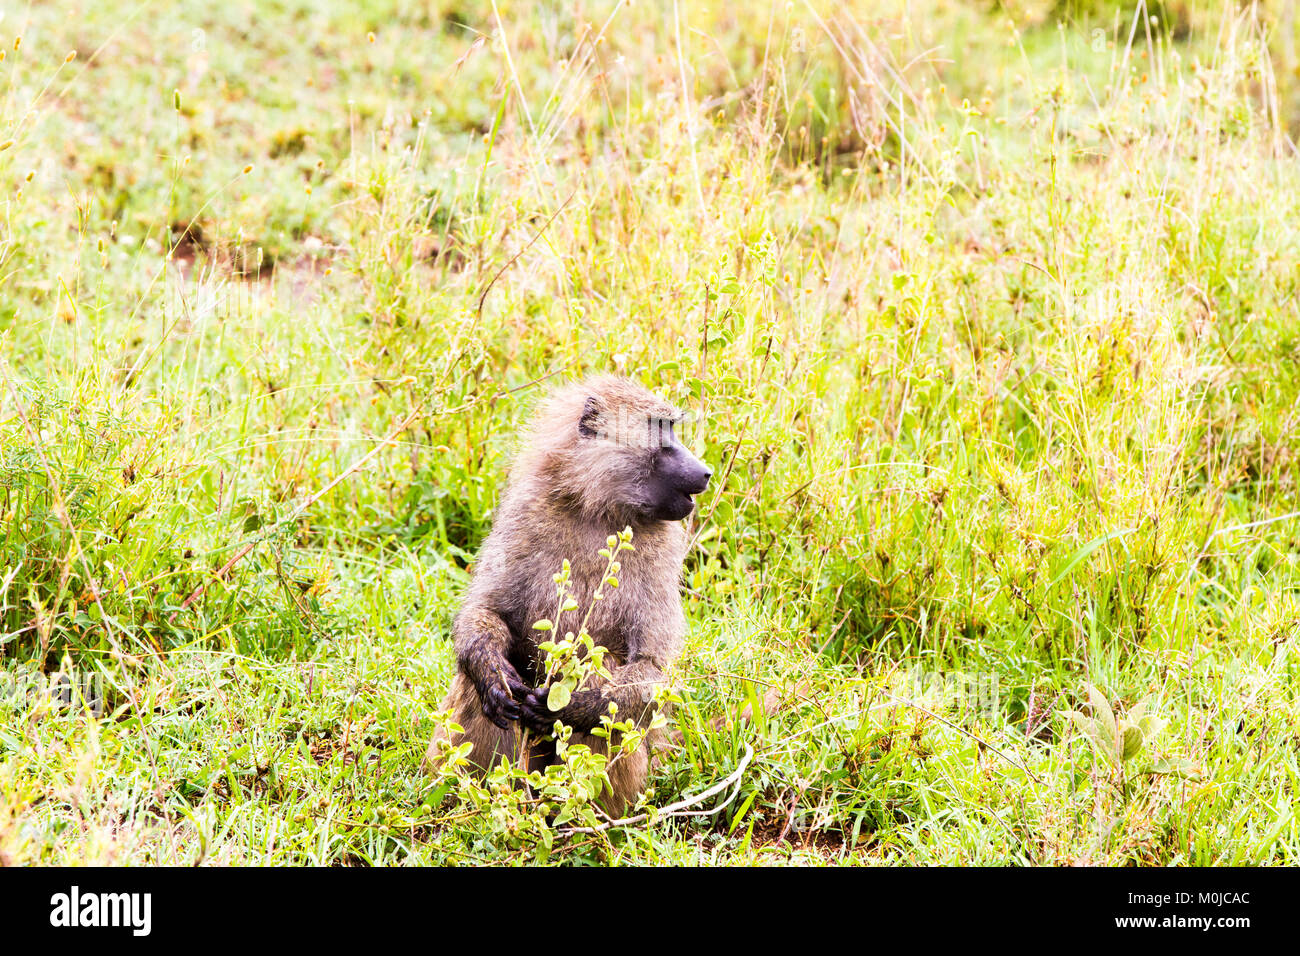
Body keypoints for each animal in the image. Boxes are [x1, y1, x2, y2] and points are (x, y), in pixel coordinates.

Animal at [425, 375, 712, 814]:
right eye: (663, 431)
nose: (705, 472)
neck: (600, 509)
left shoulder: (664, 551)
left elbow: (652, 667)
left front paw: (568, 706)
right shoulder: (525, 514)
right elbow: (486, 612)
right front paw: (491, 673)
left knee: (601, 665)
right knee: (477, 687)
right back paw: (476, 798)